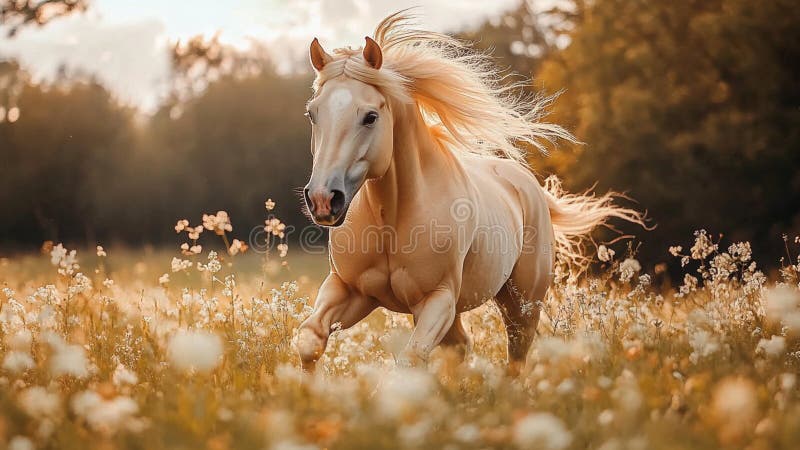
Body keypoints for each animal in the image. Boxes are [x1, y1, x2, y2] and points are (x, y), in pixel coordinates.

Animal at [295, 12, 642, 371]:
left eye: (370, 116)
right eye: (312, 113)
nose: (323, 199)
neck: (392, 216)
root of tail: (528, 185)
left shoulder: (438, 300)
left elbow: (410, 361)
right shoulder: (350, 290)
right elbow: (309, 340)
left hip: (522, 304)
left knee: (515, 357)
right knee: (463, 346)